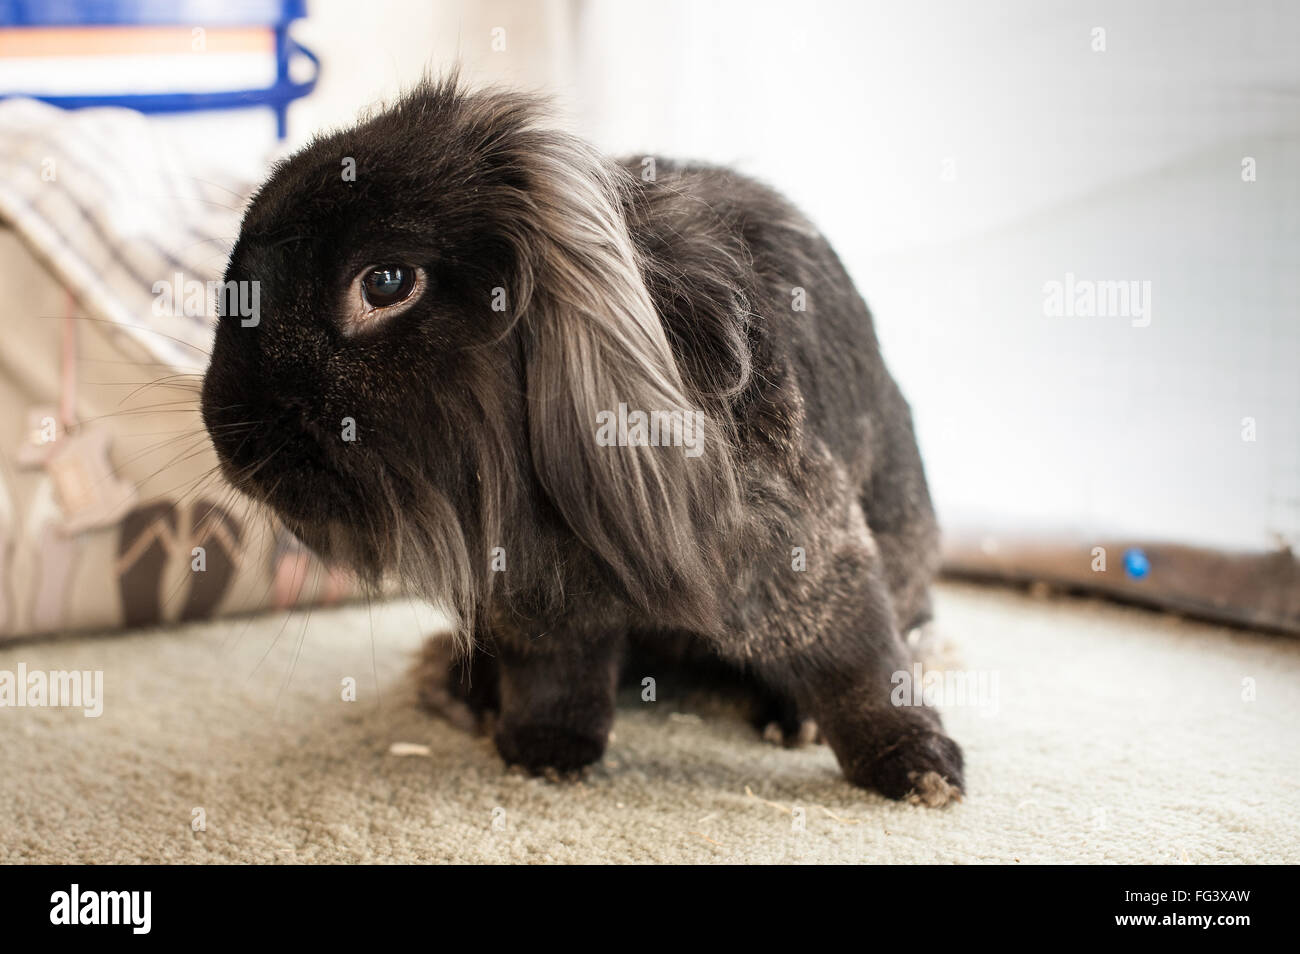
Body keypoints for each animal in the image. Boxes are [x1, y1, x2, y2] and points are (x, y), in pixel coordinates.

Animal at [201, 75, 963, 806]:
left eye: (386, 282)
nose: (229, 439)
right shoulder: (537, 603)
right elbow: (557, 674)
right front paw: (546, 752)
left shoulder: (807, 554)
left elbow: (858, 664)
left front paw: (922, 772)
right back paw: (466, 692)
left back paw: (795, 720)